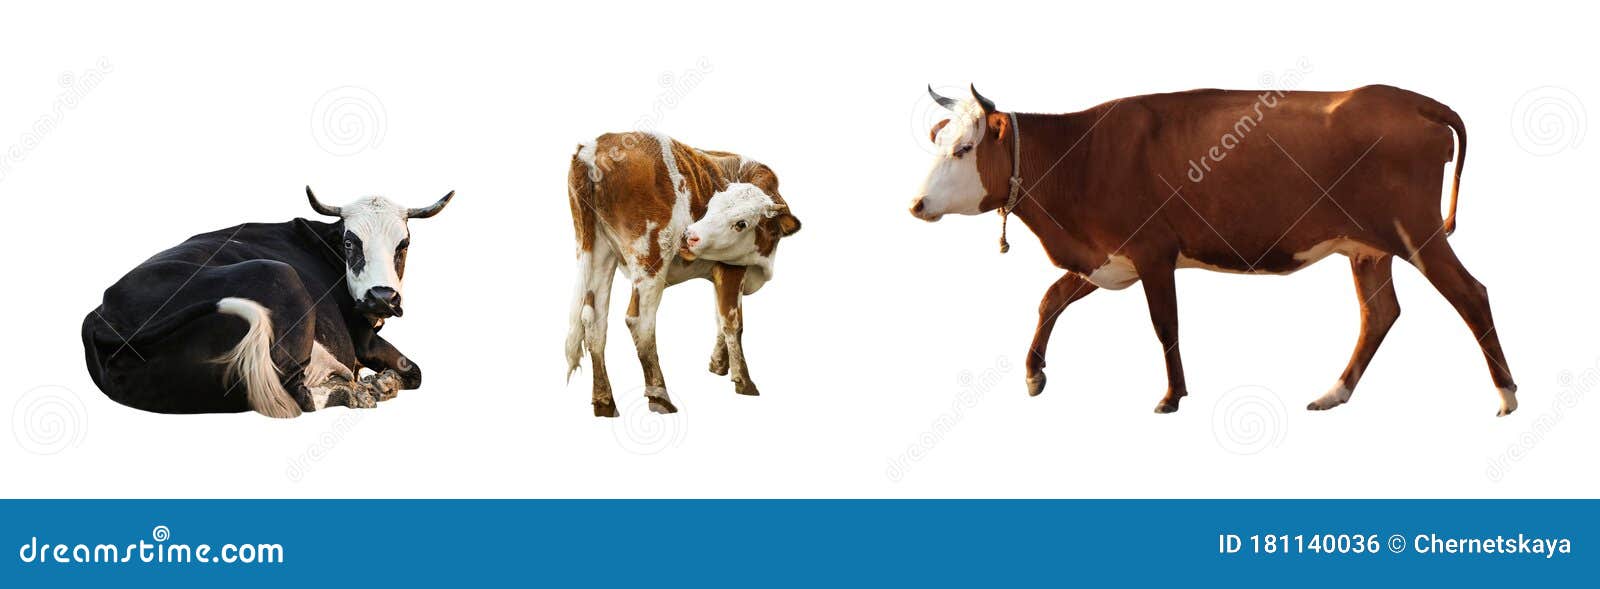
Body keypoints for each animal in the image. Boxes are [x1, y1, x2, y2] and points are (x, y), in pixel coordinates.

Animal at [81, 188, 454, 418]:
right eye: (350, 242)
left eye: (403, 244)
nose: (382, 297)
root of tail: (102, 314)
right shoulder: (362, 338)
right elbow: (415, 372)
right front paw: (381, 380)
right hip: (280, 274)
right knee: (298, 394)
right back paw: (361, 391)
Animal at [566, 132, 801, 417]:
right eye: (709, 208)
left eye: (741, 223)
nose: (689, 236)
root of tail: (597, 144)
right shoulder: (731, 264)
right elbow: (732, 321)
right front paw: (743, 380)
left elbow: (719, 316)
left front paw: (719, 364)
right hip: (650, 257)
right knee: (640, 321)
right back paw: (659, 396)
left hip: (598, 251)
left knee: (594, 321)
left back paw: (604, 400)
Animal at [911, 84, 1517, 416]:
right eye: (938, 141)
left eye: (964, 149)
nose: (916, 204)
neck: (1079, 160)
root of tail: (1412, 101)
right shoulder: (1107, 256)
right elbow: (1050, 300)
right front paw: (1034, 374)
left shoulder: (1153, 251)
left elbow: (1165, 324)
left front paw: (1172, 395)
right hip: (1367, 247)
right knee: (1381, 313)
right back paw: (1333, 394)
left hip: (1417, 231)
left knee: (1471, 294)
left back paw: (1507, 394)